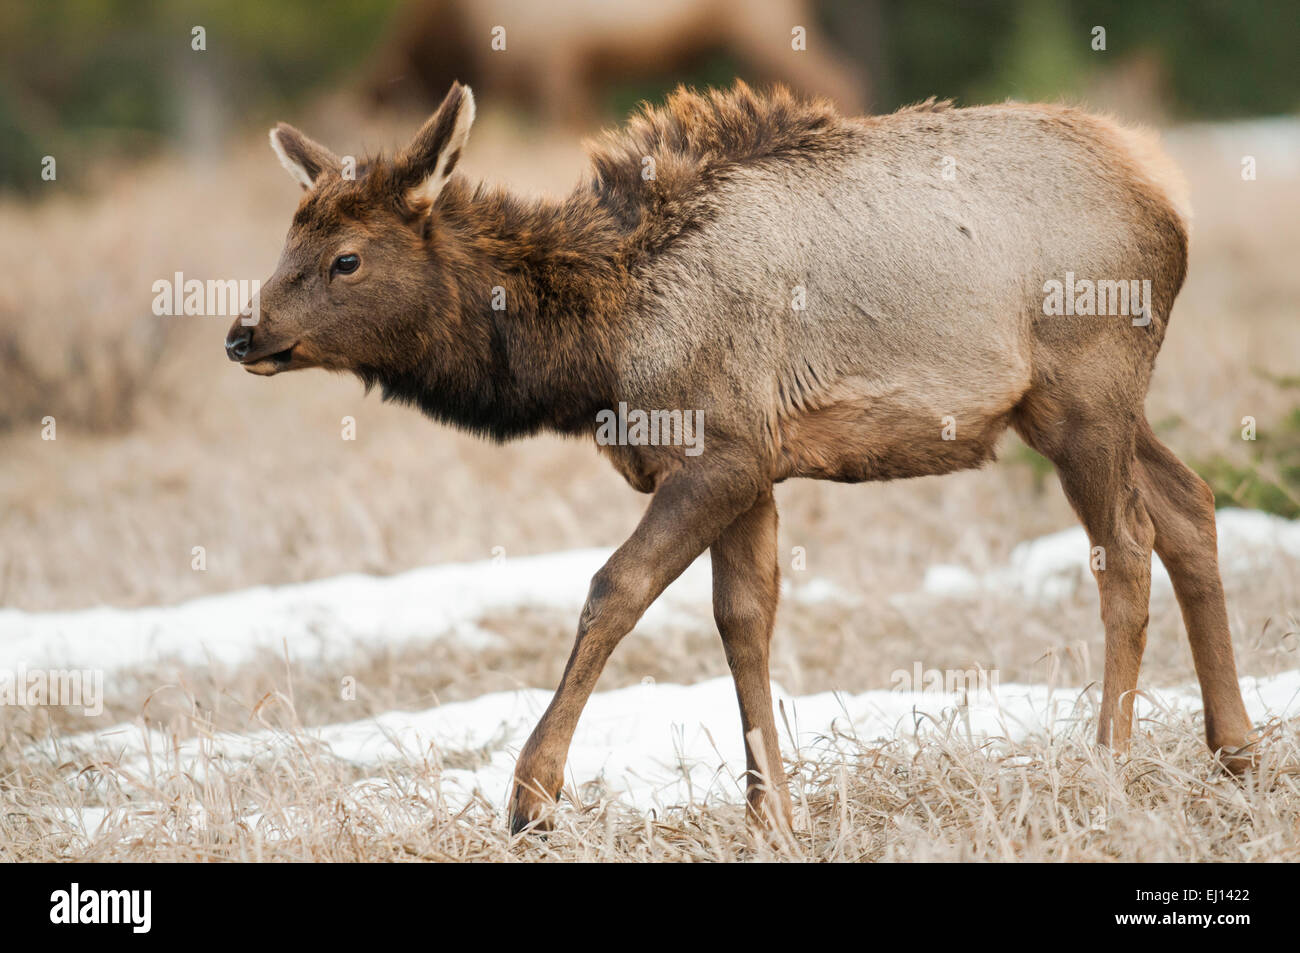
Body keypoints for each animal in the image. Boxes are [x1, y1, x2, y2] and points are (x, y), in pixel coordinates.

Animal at [226, 80, 1259, 835]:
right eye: (289, 238)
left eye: (347, 258)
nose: (243, 332)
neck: (599, 347)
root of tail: (1168, 193)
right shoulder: (756, 466)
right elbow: (743, 620)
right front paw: (771, 815)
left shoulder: (716, 448)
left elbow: (614, 589)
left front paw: (532, 798)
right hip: (1090, 404)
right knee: (1192, 504)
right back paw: (1237, 751)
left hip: (1085, 385)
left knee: (1126, 544)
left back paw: (1110, 764)